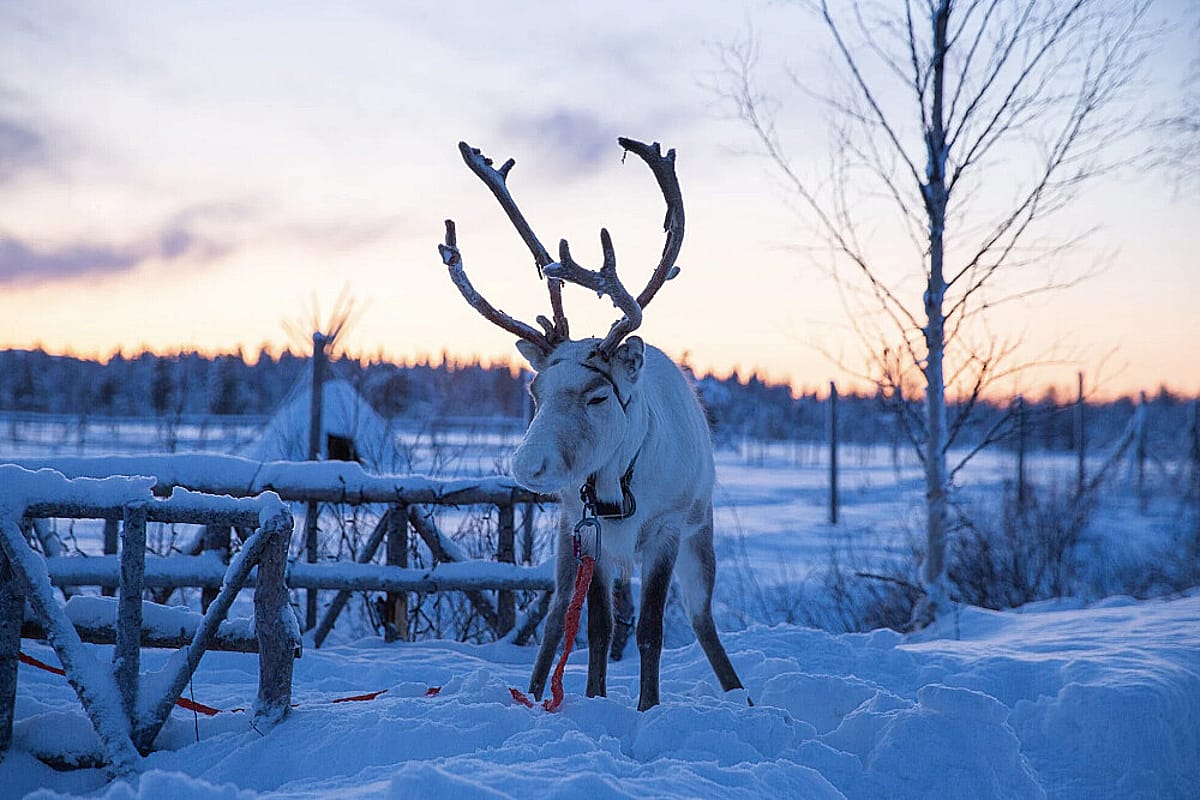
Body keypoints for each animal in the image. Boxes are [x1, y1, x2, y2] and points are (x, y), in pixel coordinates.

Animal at [437, 138, 747, 712]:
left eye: (598, 394)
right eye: (535, 392)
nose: (527, 466)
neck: (615, 486)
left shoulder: (667, 528)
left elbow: (651, 629)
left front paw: (647, 708)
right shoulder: (590, 537)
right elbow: (598, 628)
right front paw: (594, 699)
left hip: (700, 533)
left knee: (702, 618)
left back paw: (741, 694)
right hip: (566, 540)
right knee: (557, 616)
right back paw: (536, 692)